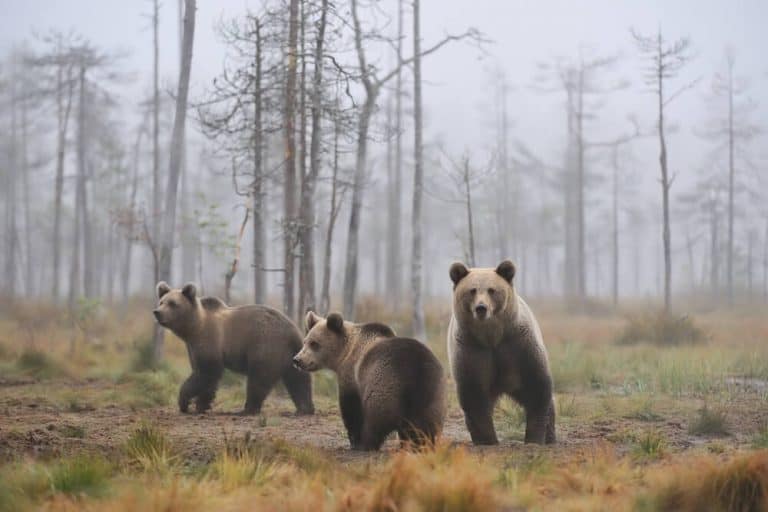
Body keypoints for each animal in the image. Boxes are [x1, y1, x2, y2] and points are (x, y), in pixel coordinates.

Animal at [152, 282, 314, 416]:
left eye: (173, 303)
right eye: (161, 301)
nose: (157, 312)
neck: (193, 329)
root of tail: (293, 329)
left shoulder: (210, 340)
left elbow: (206, 372)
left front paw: (185, 403)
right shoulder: (193, 348)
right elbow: (205, 376)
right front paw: (202, 405)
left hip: (265, 346)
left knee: (259, 379)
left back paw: (247, 409)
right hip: (293, 353)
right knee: (299, 380)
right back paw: (304, 409)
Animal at [292, 311, 446, 451]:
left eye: (314, 343)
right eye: (305, 341)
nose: (297, 360)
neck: (345, 353)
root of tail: (417, 370)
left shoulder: (352, 376)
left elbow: (351, 408)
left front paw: (355, 441)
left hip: (385, 383)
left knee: (376, 418)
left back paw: (368, 443)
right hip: (433, 390)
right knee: (427, 422)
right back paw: (421, 443)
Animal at [447, 260, 555, 445]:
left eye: (492, 290)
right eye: (472, 290)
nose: (481, 308)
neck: (492, 336)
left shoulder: (518, 344)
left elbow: (537, 386)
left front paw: (534, 438)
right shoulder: (472, 349)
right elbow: (473, 393)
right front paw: (487, 440)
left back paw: (551, 437)